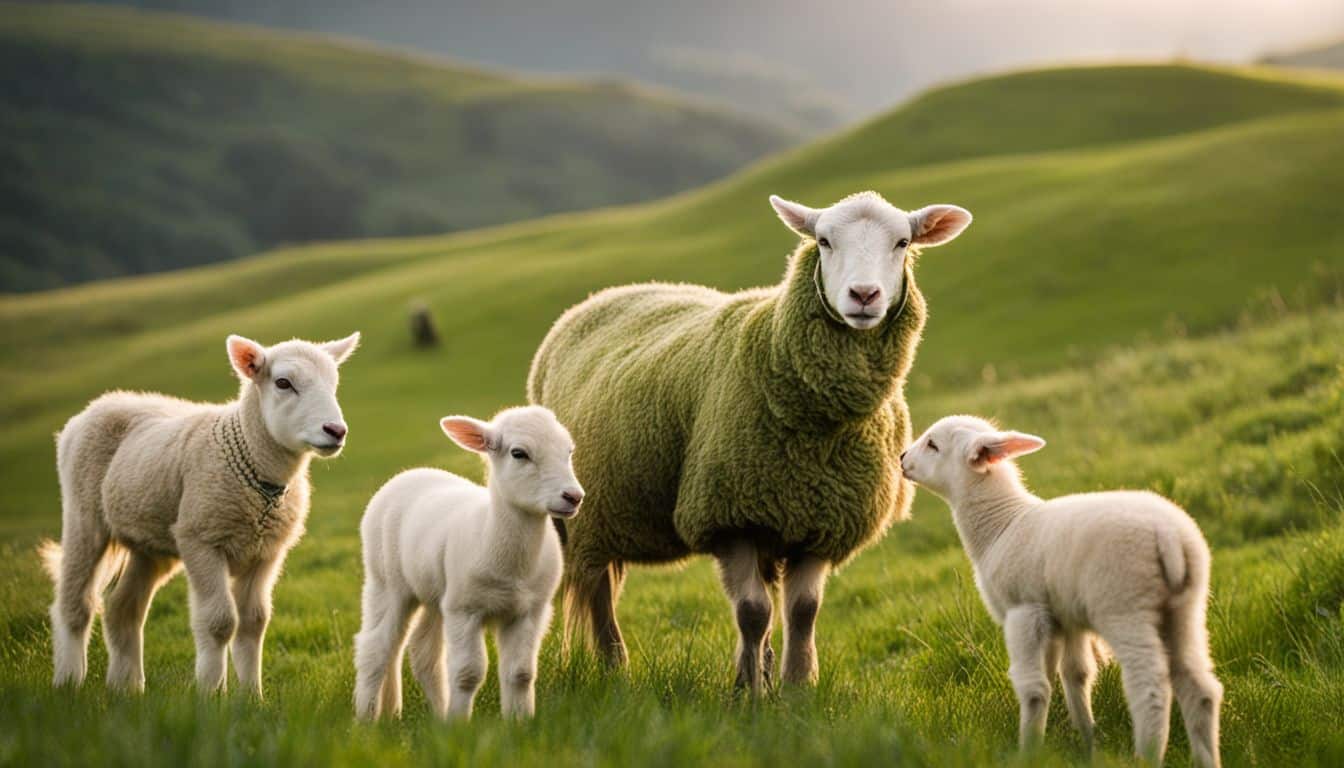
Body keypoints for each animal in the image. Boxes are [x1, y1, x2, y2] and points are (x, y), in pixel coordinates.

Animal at [39, 332, 360, 695]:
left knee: (123, 609)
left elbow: (254, 623)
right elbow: (220, 622)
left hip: (150, 544)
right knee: (75, 604)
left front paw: (251, 697)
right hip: (84, 516)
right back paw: (69, 682)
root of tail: (103, 402)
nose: (336, 430)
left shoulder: (266, 552)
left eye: (334, 383)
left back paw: (127, 689)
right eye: (283, 383)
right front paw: (210, 693)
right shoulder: (202, 539)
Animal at [353, 406, 583, 721]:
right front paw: (459, 725)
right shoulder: (465, 608)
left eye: (569, 451)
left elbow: (521, 673)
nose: (573, 497)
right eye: (519, 453)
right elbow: (467, 673)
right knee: (376, 647)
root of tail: (411, 472)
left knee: (421, 651)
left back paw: (425, 714)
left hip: (437, 593)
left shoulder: (531, 610)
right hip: (385, 580)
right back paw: (367, 717)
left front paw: (519, 722)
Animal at [527, 191, 972, 693]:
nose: (863, 296)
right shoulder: (728, 515)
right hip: (594, 512)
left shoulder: (821, 518)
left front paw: (795, 689)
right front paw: (753, 695)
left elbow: (803, 612)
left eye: (902, 242)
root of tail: (606, 294)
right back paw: (613, 668)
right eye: (823, 241)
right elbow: (753, 613)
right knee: (599, 591)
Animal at [899, 415, 1222, 767]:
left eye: (933, 445)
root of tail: (1169, 536)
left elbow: (1034, 687)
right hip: (1185, 607)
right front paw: (1087, 742)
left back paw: (1146, 755)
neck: (1001, 525)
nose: (901, 459)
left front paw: (1028, 751)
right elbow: (1072, 676)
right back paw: (1207, 757)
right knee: (1199, 686)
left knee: (1150, 686)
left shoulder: (1023, 610)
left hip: (1125, 604)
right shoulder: (1065, 619)